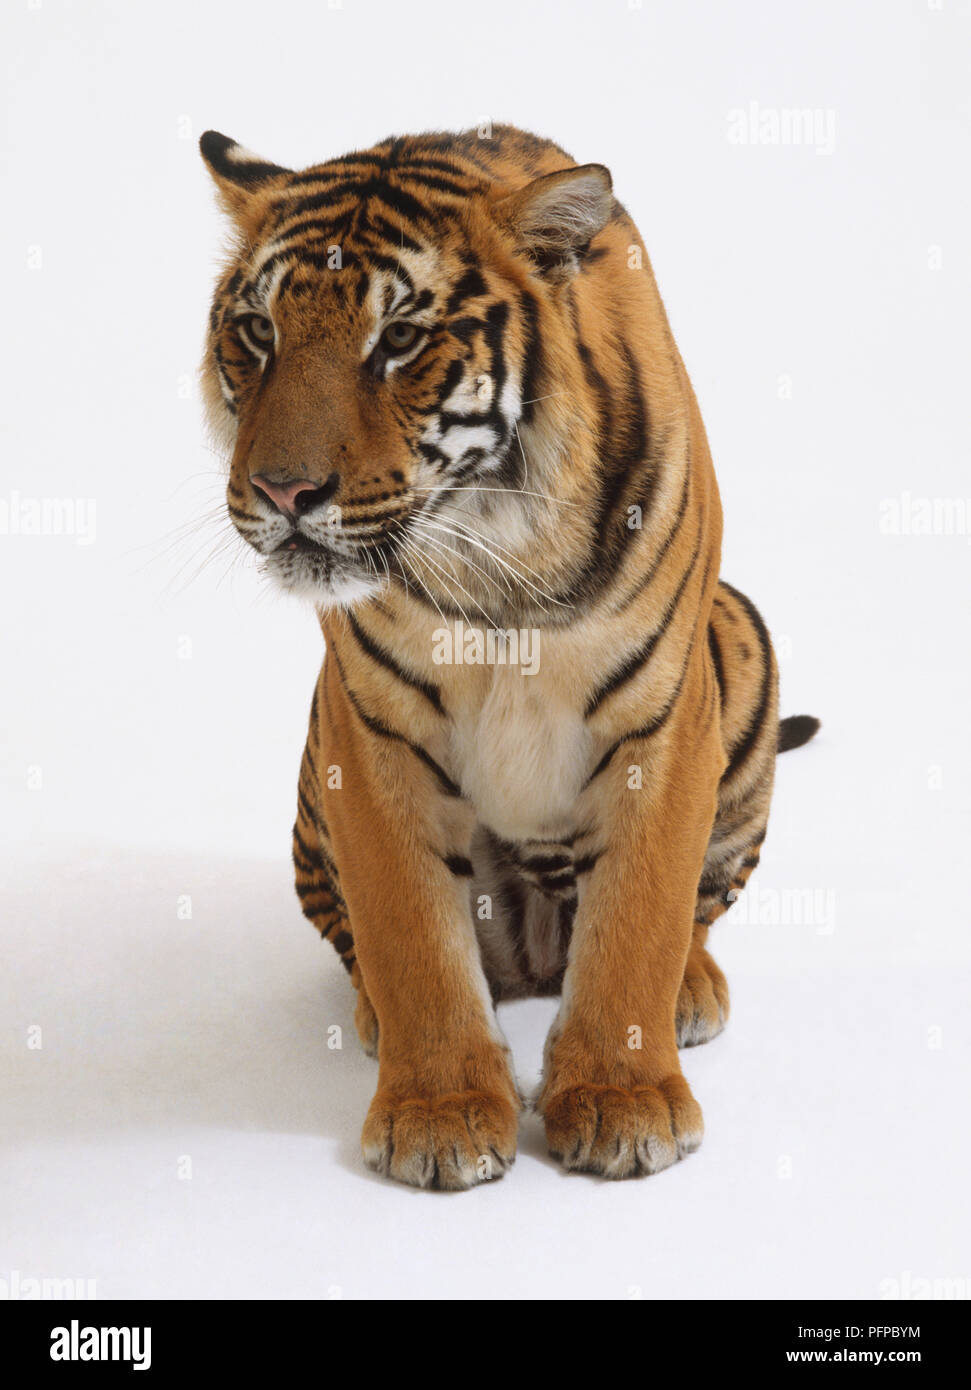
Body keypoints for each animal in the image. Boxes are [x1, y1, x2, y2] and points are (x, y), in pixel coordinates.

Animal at [199, 123, 819, 1190]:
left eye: (399, 340)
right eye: (258, 333)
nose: (282, 492)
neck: (492, 554)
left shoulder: (664, 718)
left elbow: (640, 917)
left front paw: (623, 1102)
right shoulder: (370, 732)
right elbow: (411, 936)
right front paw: (440, 1114)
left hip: (740, 639)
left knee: (691, 914)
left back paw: (688, 993)